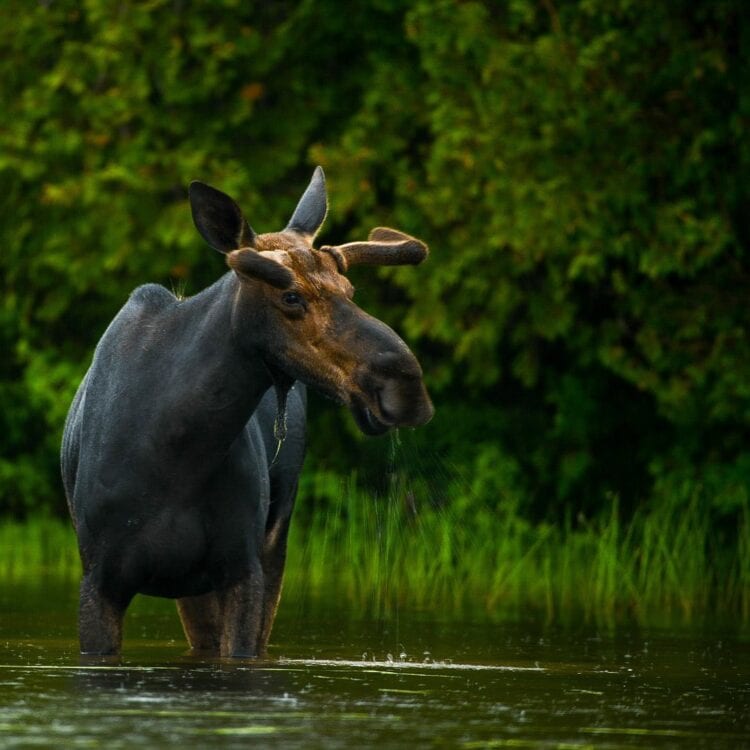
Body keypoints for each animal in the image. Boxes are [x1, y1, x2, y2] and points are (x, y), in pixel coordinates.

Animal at [60, 167, 433, 657]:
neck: (178, 449)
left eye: (350, 290)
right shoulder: (99, 578)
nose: (406, 385)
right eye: (291, 297)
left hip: (274, 540)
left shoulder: (243, 568)